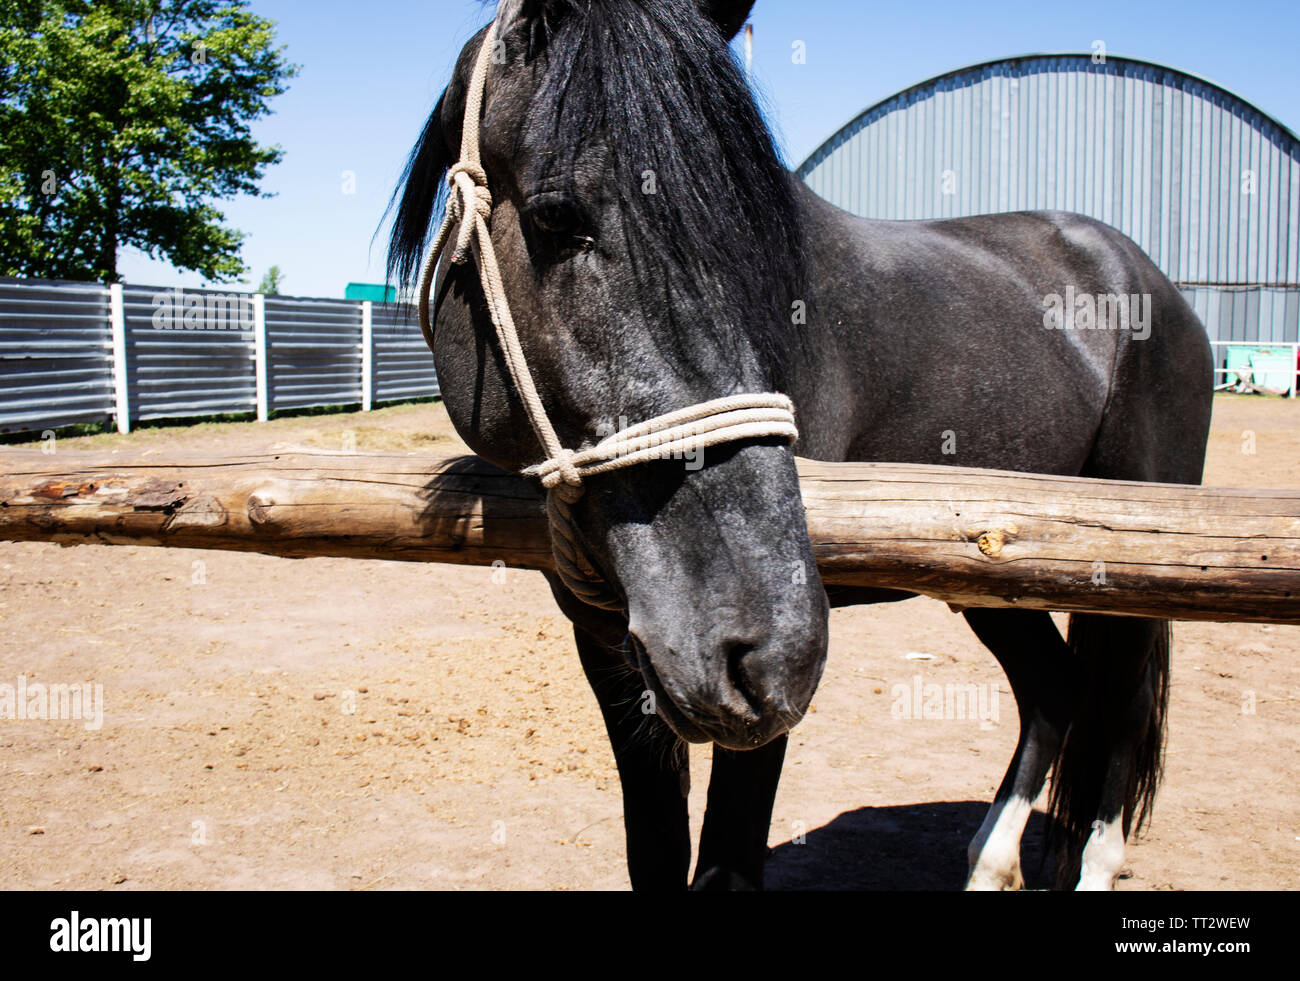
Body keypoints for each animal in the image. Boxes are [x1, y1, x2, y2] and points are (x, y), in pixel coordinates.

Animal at [387, 0, 1213, 891]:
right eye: (554, 218)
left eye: (752, 237)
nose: (762, 646)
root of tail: (1147, 280)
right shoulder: (606, 641)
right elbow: (656, 851)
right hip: (990, 573)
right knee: (1056, 690)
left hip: (1131, 572)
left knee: (1120, 712)